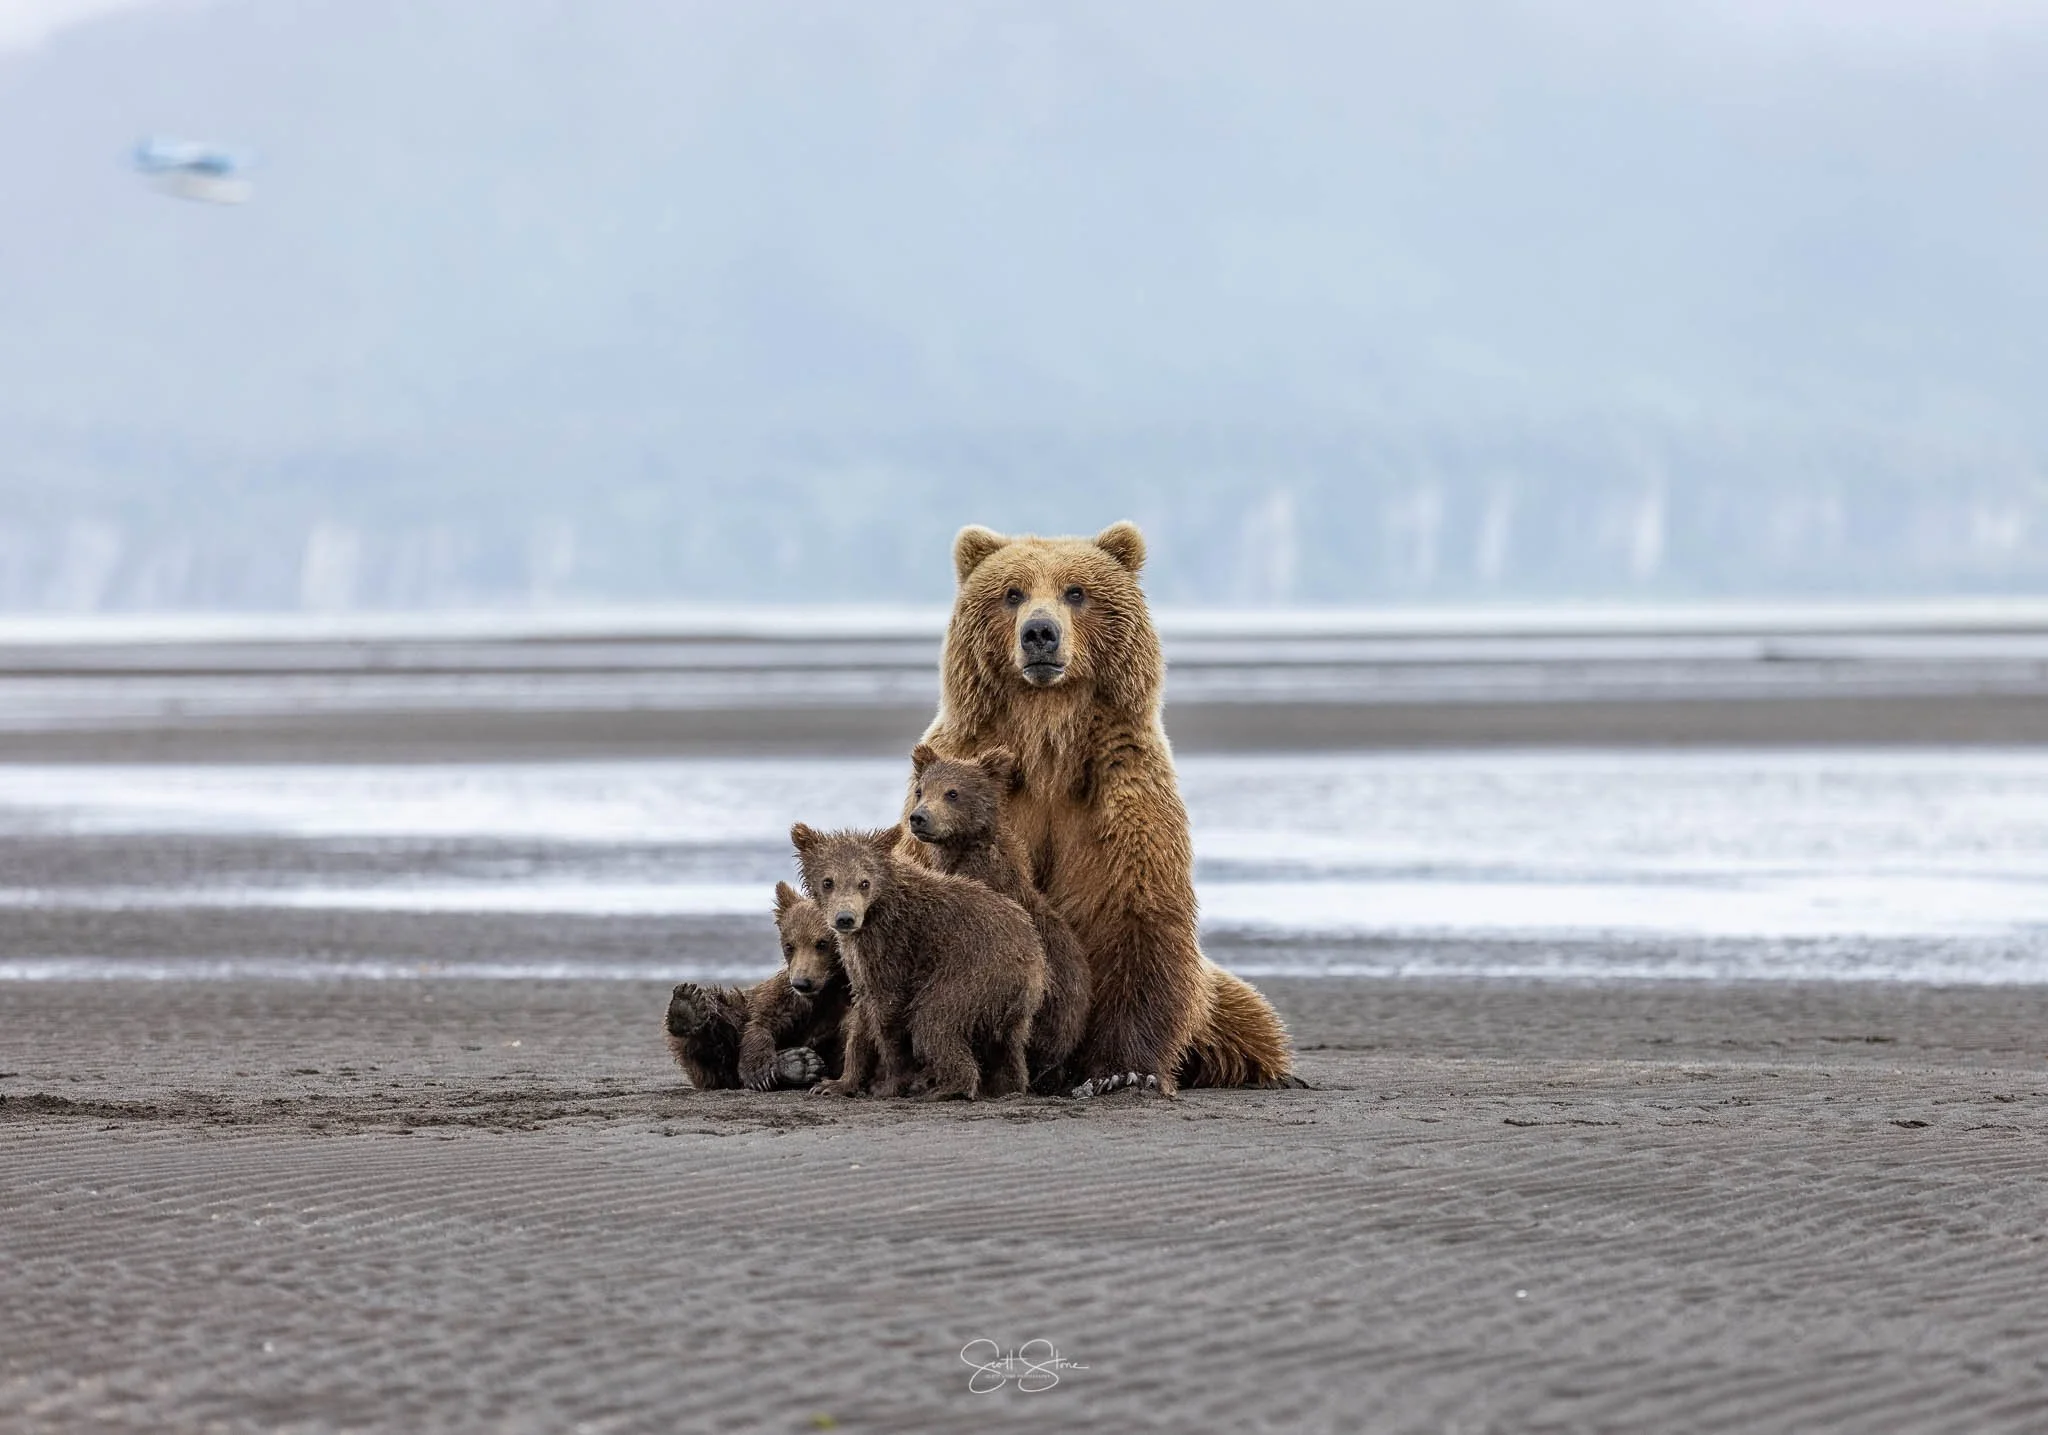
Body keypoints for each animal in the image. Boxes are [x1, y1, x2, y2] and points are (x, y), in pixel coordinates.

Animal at [662, 882, 851, 1091]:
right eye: (789, 945)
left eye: (822, 943)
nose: (802, 982)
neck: (830, 986)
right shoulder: (788, 993)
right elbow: (763, 1019)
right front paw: (759, 1071)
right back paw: (687, 1008)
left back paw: (800, 1063)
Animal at [793, 822, 1045, 1101]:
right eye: (828, 881)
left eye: (864, 882)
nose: (845, 918)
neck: (876, 909)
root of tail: (1034, 956)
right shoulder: (858, 957)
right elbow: (862, 1014)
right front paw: (837, 1083)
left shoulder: (892, 944)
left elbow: (888, 1011)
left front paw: (889, 1084)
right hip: (1013, 1006)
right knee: (1008, 1045)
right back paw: (1008, 1086)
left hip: (974, 974)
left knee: (933, 1023)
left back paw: (947, 1087)